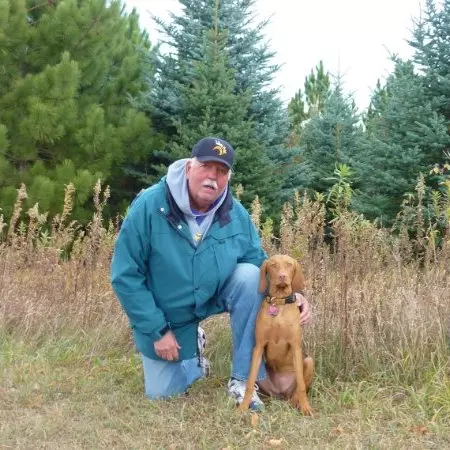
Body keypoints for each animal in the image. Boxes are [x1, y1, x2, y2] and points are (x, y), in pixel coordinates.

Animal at [239, 255, 312, 414]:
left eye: (289, 264)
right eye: (273, 265)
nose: (282, 276)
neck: (278, 302)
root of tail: (280, 393)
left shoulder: (296, 346)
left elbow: (301, 385)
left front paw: (306, 408)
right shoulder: (258, 346)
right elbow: (249, 383)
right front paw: (243, 407)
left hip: (309, 361)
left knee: (297, 391)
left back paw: (297, 404)